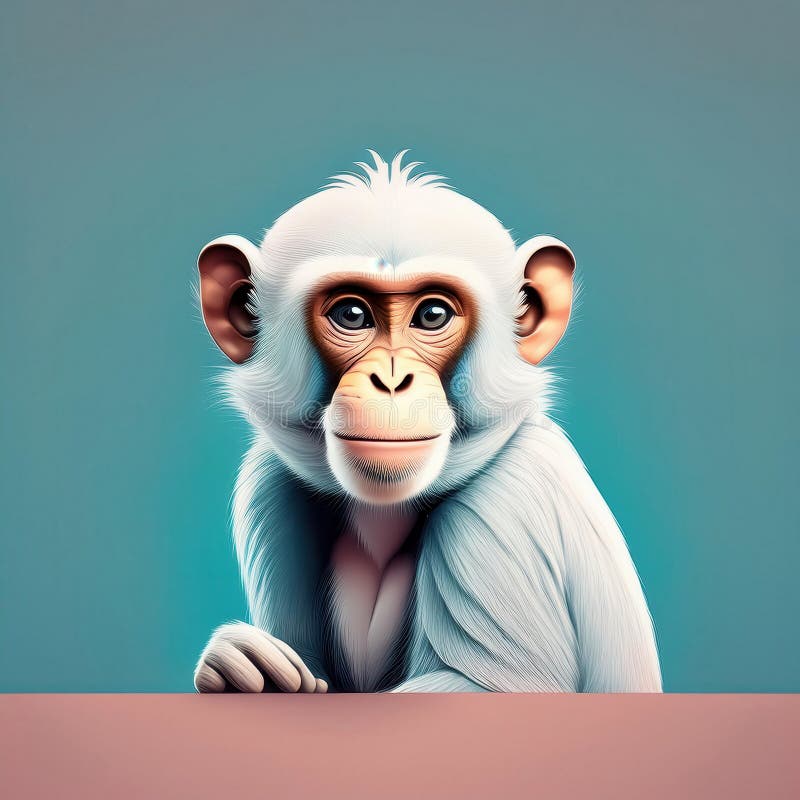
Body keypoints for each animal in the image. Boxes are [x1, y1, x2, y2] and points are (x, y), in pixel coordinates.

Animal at [193, 152, 662, 694]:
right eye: (351, 314)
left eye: (433, 314)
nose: (392, 380)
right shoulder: (268, 486)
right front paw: (237, 660)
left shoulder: (507, 501)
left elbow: (495, 687)